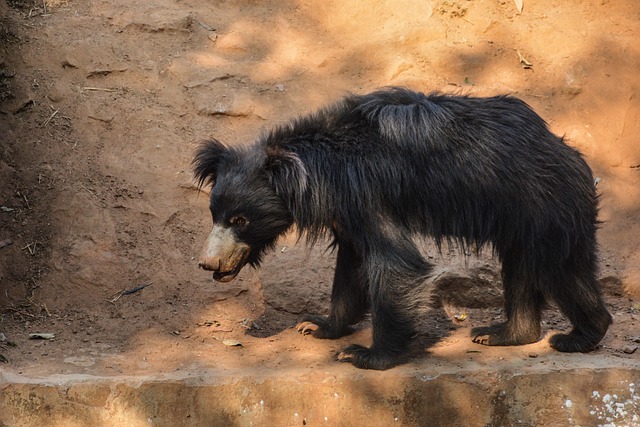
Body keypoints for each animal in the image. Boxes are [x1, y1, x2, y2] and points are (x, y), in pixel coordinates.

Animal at [193, 87, 612, 370]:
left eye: (241, 220)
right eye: (215, 215)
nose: (209, 264)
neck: (315, 172)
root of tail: (569, 151)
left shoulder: (364, 193)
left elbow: (395, 261)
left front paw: (365, 354)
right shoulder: (346, 212)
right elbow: (351, 266)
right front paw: (317, 326)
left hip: (546, 205)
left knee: (559, 268)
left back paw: (578, 337)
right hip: (522, 220)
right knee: (523, 267)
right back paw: (502, 334)